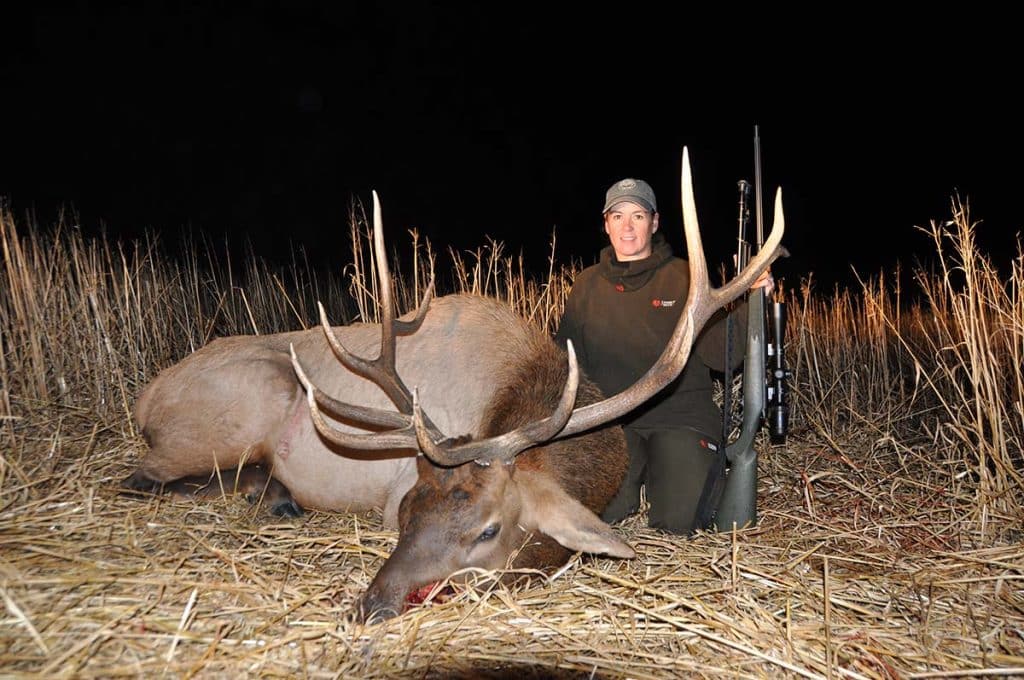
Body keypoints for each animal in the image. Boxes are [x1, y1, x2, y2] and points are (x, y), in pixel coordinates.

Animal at [121, 148, 786, 622]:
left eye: (487, 528)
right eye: (407, 511)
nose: (370, 605)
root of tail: (145, 396)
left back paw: (277, 496)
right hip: (245, 404)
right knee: (139, 478)